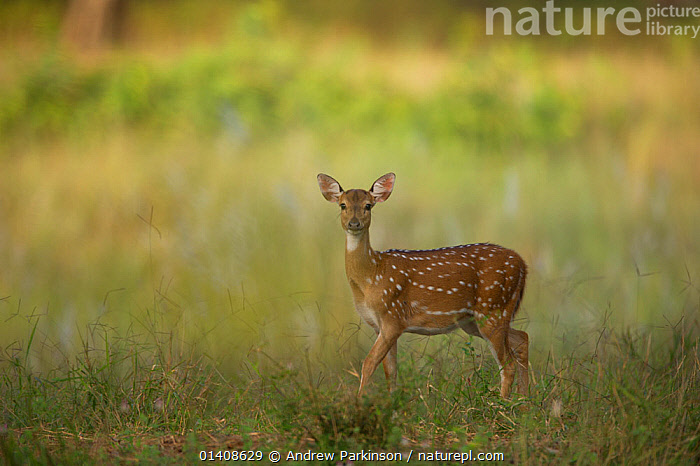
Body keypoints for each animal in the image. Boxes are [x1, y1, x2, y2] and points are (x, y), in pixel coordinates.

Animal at [317, 172, 529, 398]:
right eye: (343, 205)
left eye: (368, 205)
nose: (354, 223)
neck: (371, 275)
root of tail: (522, 265)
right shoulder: (378, 326)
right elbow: (390, 370)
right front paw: (392, 403)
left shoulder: (393, 318)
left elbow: (369, 363)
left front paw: (359, 402)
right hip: (474, 320)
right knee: (522, 338)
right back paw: (524, 400)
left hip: (493, 307)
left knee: (508, 363)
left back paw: (503, 402)